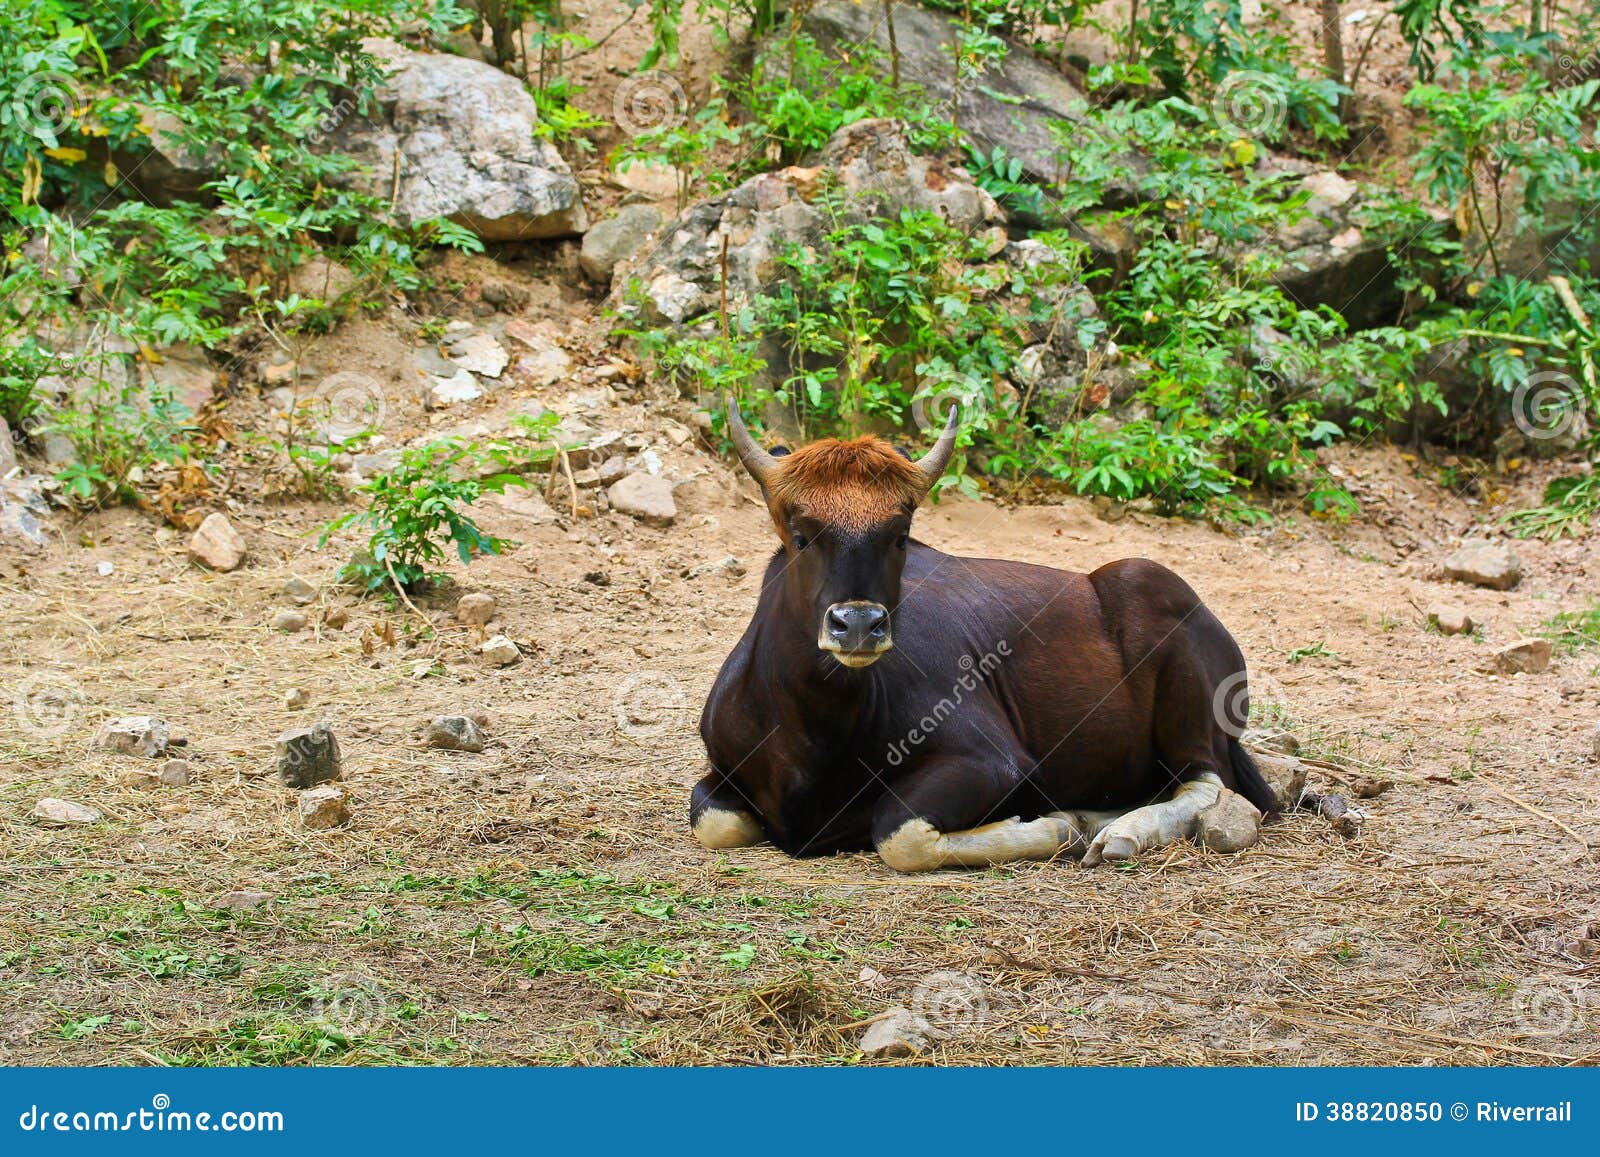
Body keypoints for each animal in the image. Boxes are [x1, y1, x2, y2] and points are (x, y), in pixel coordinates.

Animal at [691, 401, 1280, 872]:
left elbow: (898, 833)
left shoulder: (991, 760)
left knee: (1210, 783)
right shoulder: (720, 772)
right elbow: (714, 823)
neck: (813, 735)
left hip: (1171, 645)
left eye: (900, 536)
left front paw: (1060, 826)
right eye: (800, 536)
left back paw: (1119, 834)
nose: (858, 625)